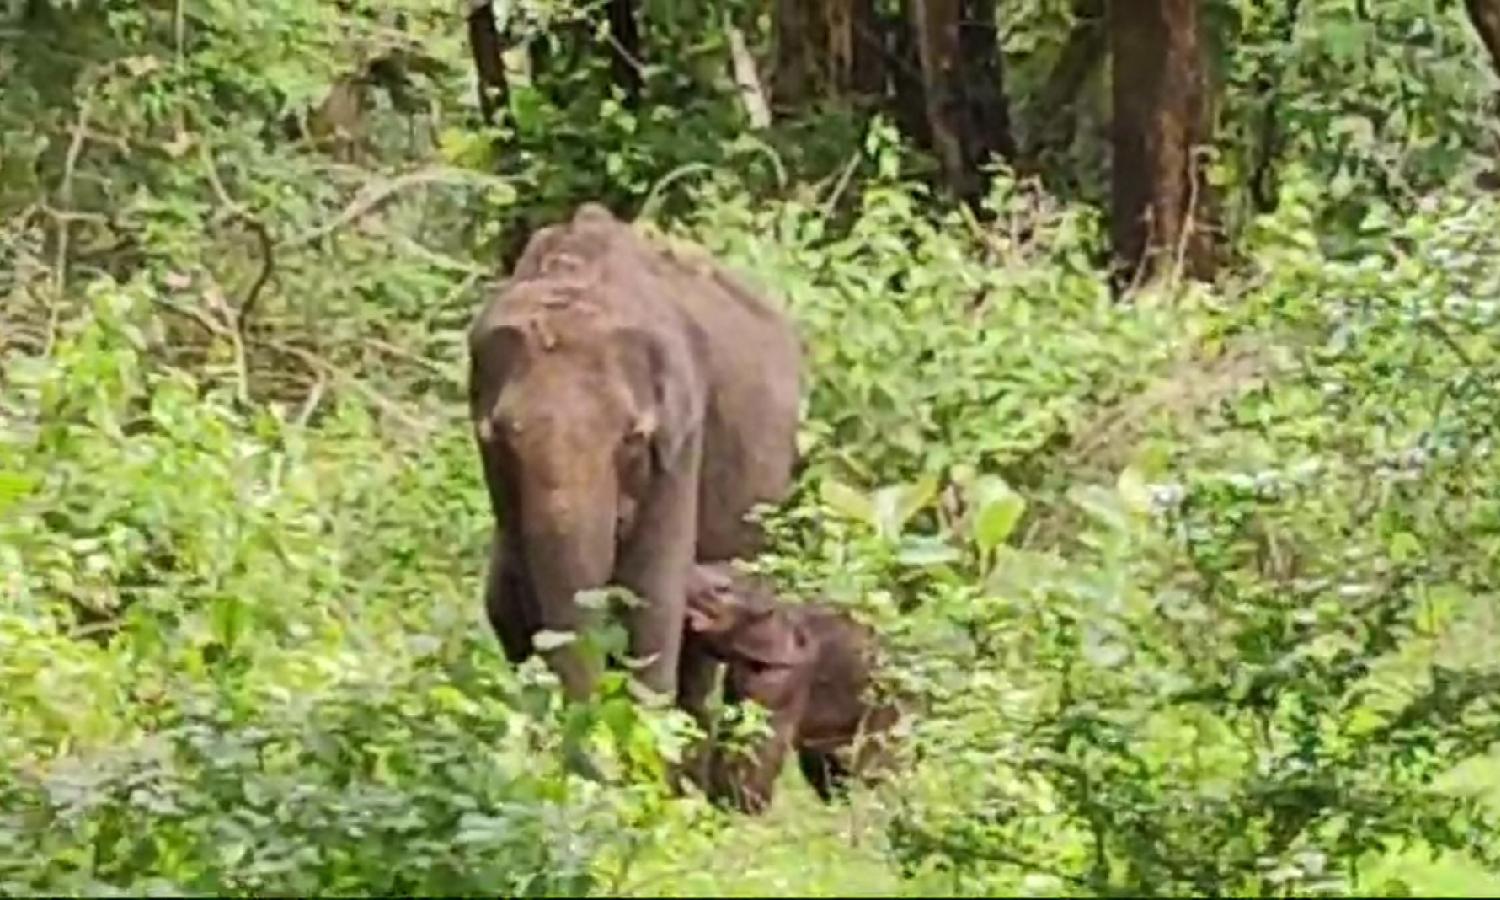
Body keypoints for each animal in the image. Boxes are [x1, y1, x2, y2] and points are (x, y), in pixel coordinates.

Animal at [683, 562, 905, 814]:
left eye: (722, 589)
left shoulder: (786, 677)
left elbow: (760, 739)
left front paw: (739, 810)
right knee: (827, 764)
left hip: (887, 704)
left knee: (875, 763)